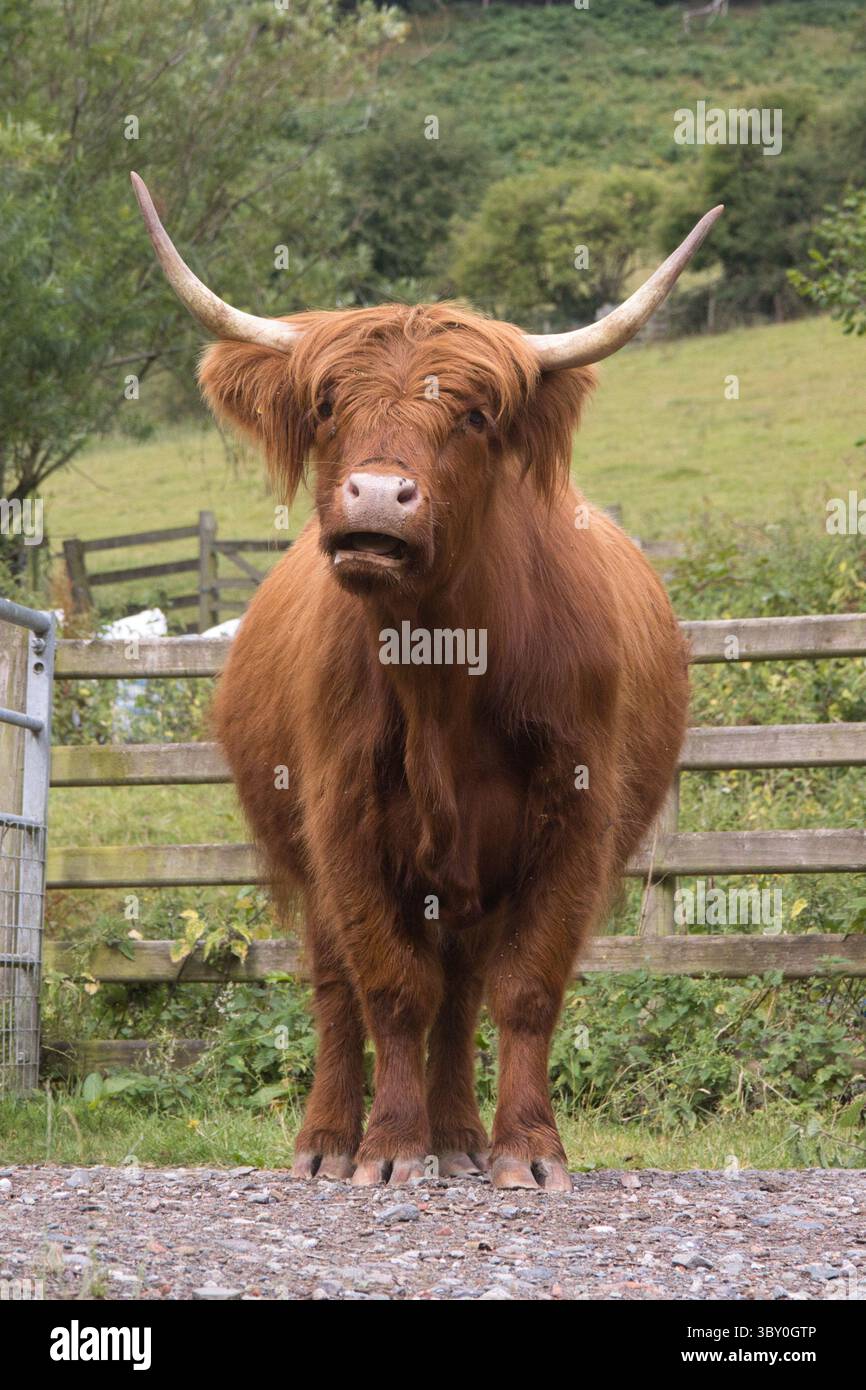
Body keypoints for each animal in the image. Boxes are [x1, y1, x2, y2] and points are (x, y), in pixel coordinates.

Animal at [132, 173, 721, 1191]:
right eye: (327, 405)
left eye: (476, 415)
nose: (376, 496)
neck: (443, 674)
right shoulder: (342, 821)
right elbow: (389, 986)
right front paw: (390, 1148)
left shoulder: (577, 818)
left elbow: (523, 989)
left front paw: (527, 1149)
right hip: (309, 860)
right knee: (338, 989)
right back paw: (332, 1140)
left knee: (466, 987)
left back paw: (463, 1137)